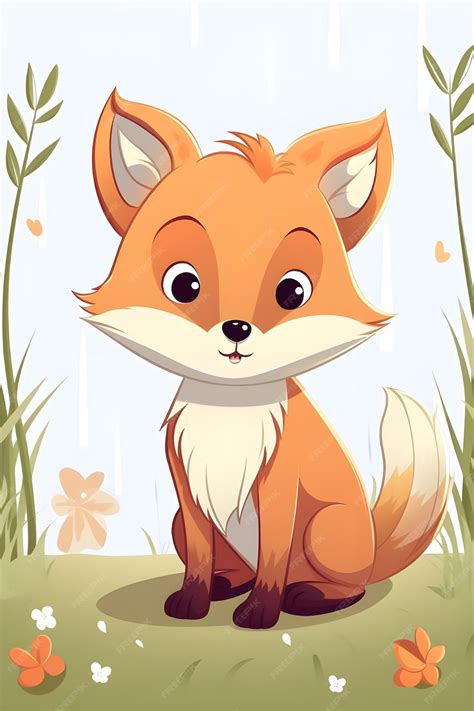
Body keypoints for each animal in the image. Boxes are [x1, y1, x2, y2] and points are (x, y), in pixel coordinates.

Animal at [77, 90, 450, 629]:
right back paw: (226, 583)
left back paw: (310, 596)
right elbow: (200, 557)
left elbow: (274, 558)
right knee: (231, 564)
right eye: (183, 284)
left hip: (326, 530)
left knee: (348, 585)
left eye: (292, 291)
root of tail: (376, 550)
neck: (229, 411)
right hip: (180, 522)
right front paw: (192, 601)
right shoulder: (186, 490)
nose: (236, 329)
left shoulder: (279, 489)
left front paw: (260, 613)